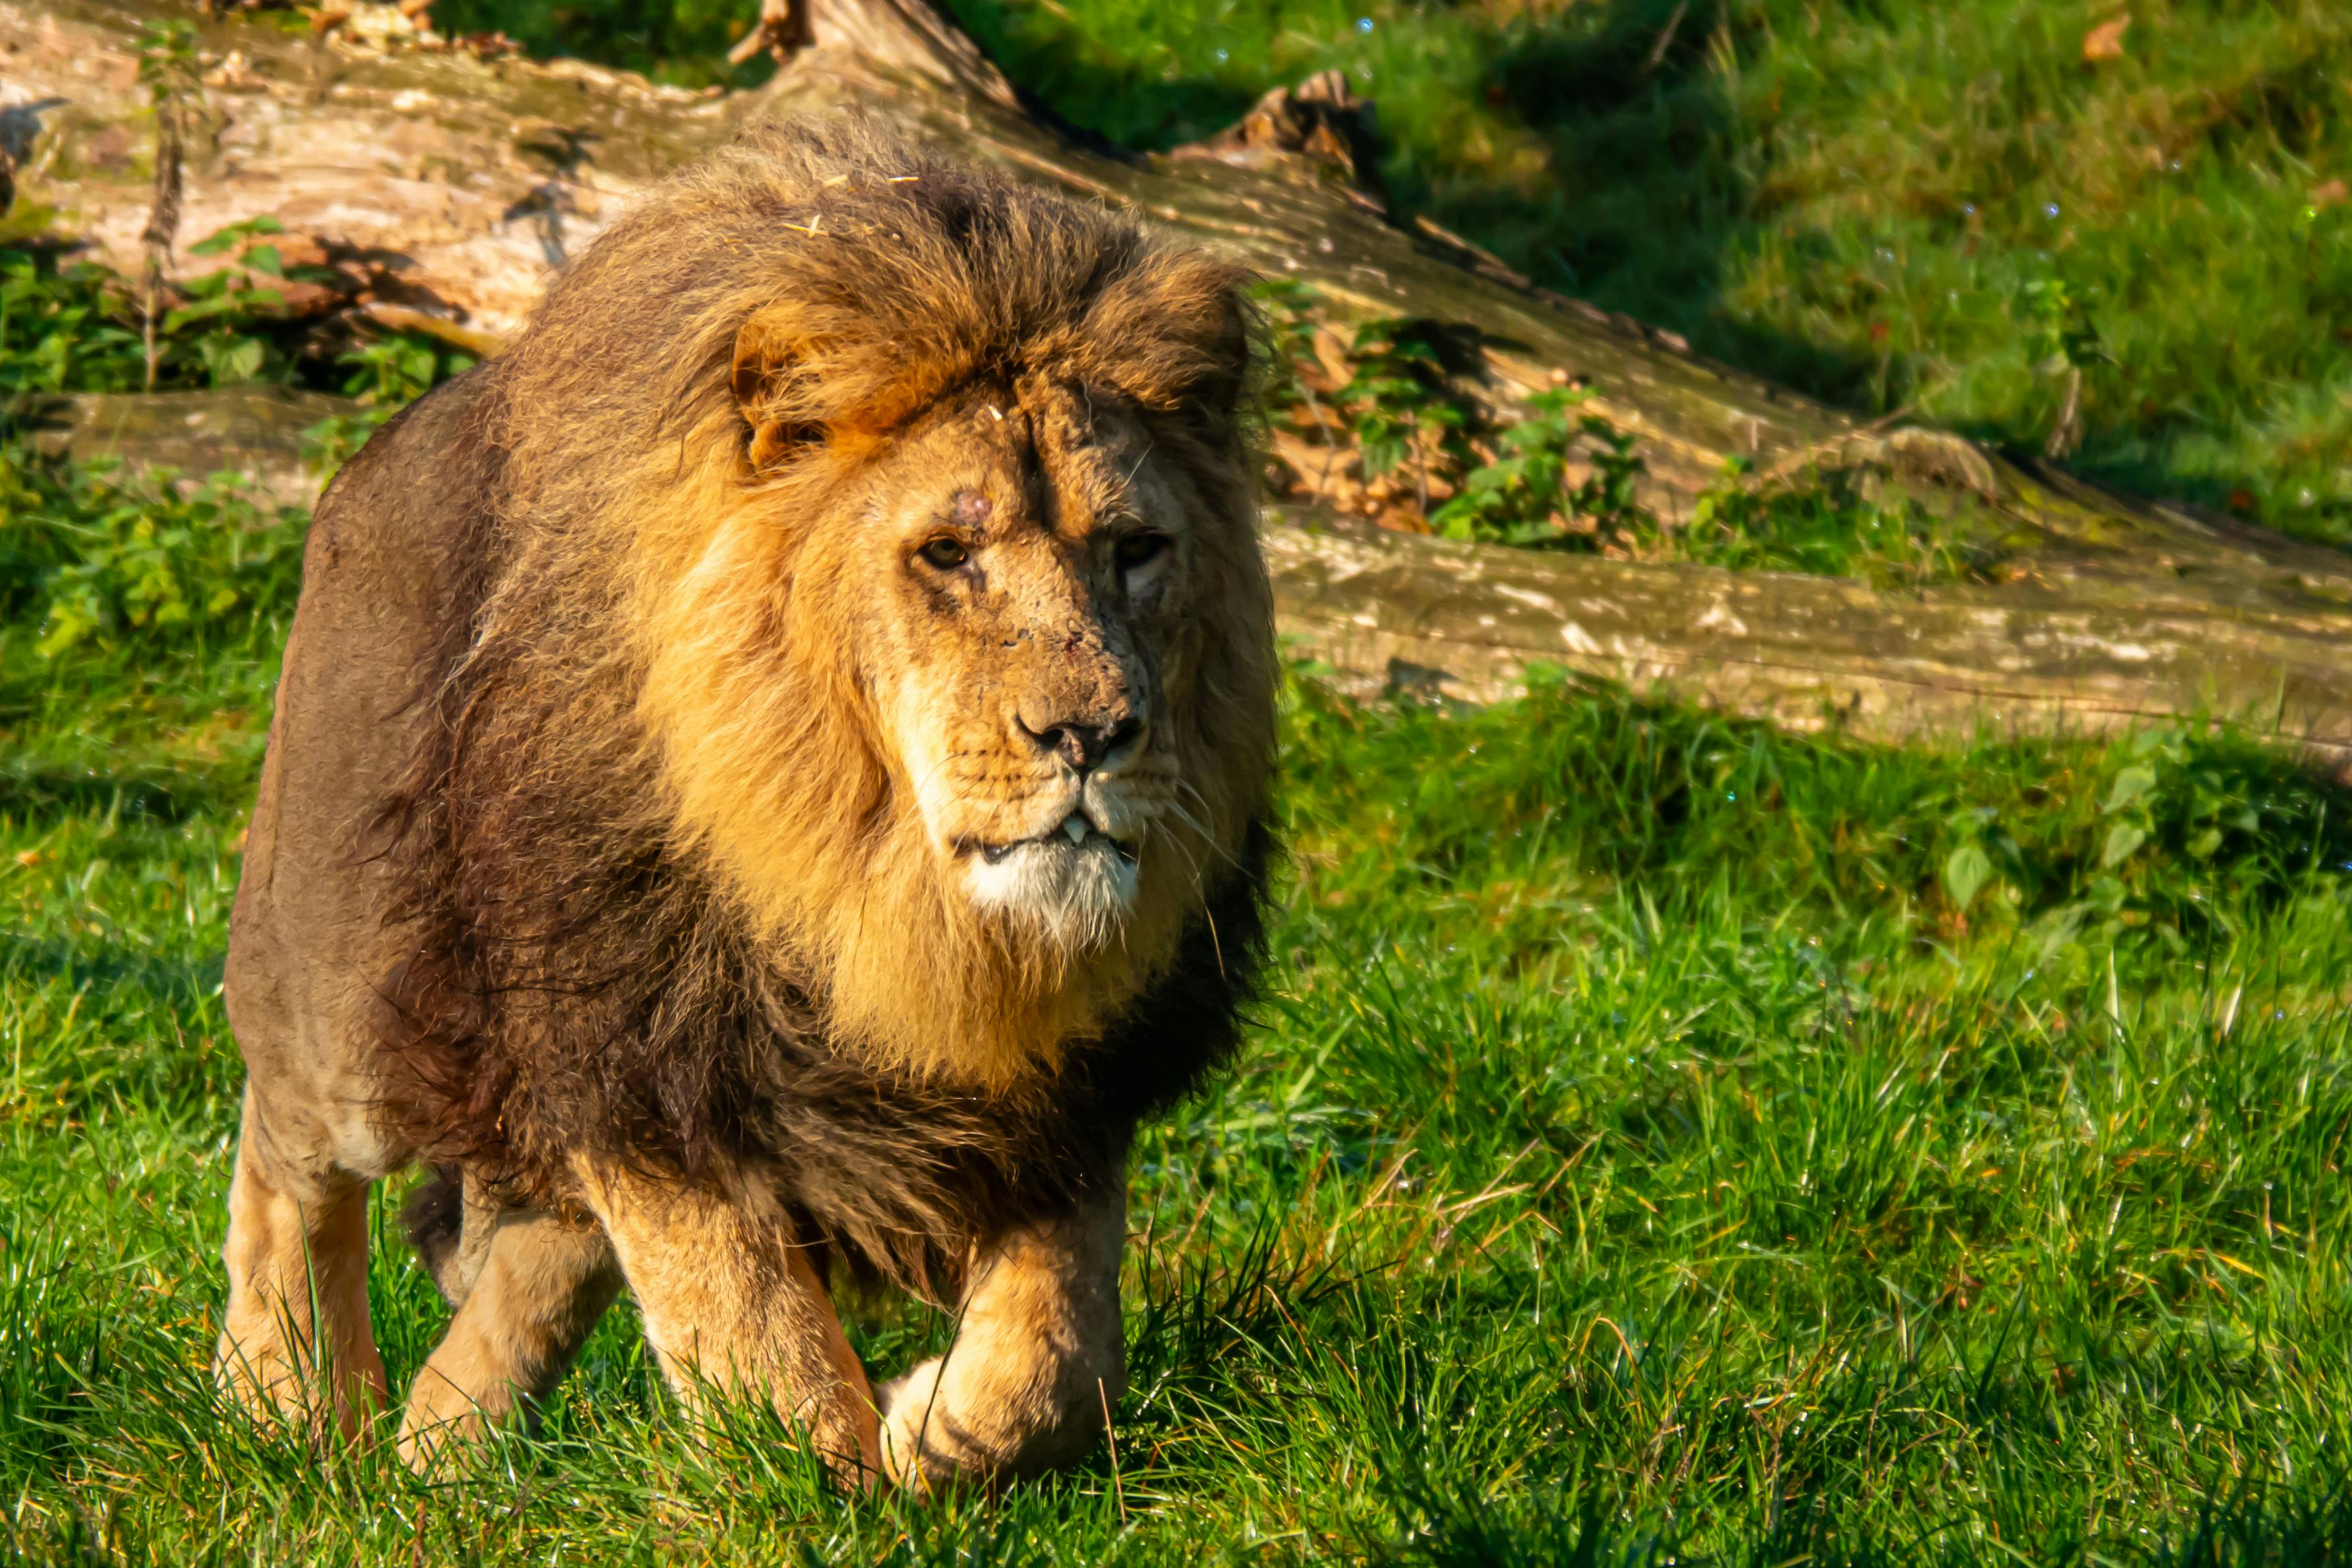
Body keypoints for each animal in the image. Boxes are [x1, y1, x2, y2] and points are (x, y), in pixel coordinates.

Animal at [213, 116, 1277, 1489]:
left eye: (1135, 551)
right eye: (948, 553)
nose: (1091, 732)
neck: (891, 902)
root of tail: (360, 469)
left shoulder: (1066, 1092)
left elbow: (1063, 1350)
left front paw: (938, 1431)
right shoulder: (644, 1040)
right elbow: (749, 1330)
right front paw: (829, 1480)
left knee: (538, 1258)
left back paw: (441, 1454)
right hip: (348, 973)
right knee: (285, 1157)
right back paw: (288, 1407)